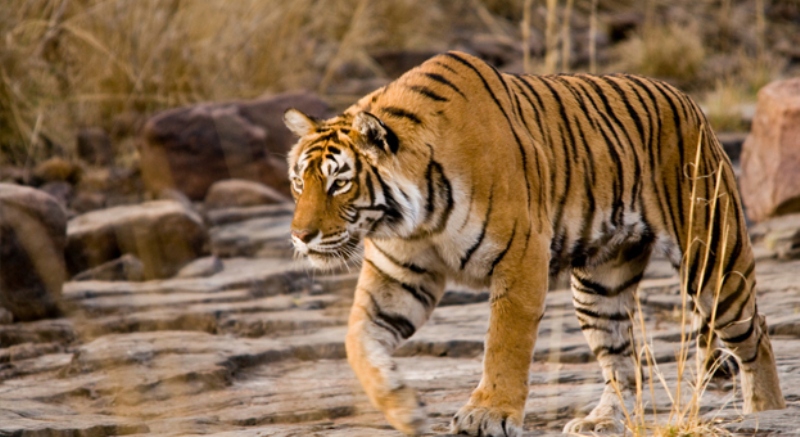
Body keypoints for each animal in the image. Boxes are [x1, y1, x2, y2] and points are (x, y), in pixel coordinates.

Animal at [283, 50, 785, 436]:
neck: (413, 219)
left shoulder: (521, 256)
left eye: (339, 183)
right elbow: (358, 340)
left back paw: (766, 413)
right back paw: (602, 421)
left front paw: (487, 414)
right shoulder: (398, 277)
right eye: (298, 182)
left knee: (755, 331)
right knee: (623, 360)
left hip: (714, 259)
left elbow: (505, 344)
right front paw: (403, 406)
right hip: (599, 286)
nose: (300, 236)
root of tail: (687, 99)